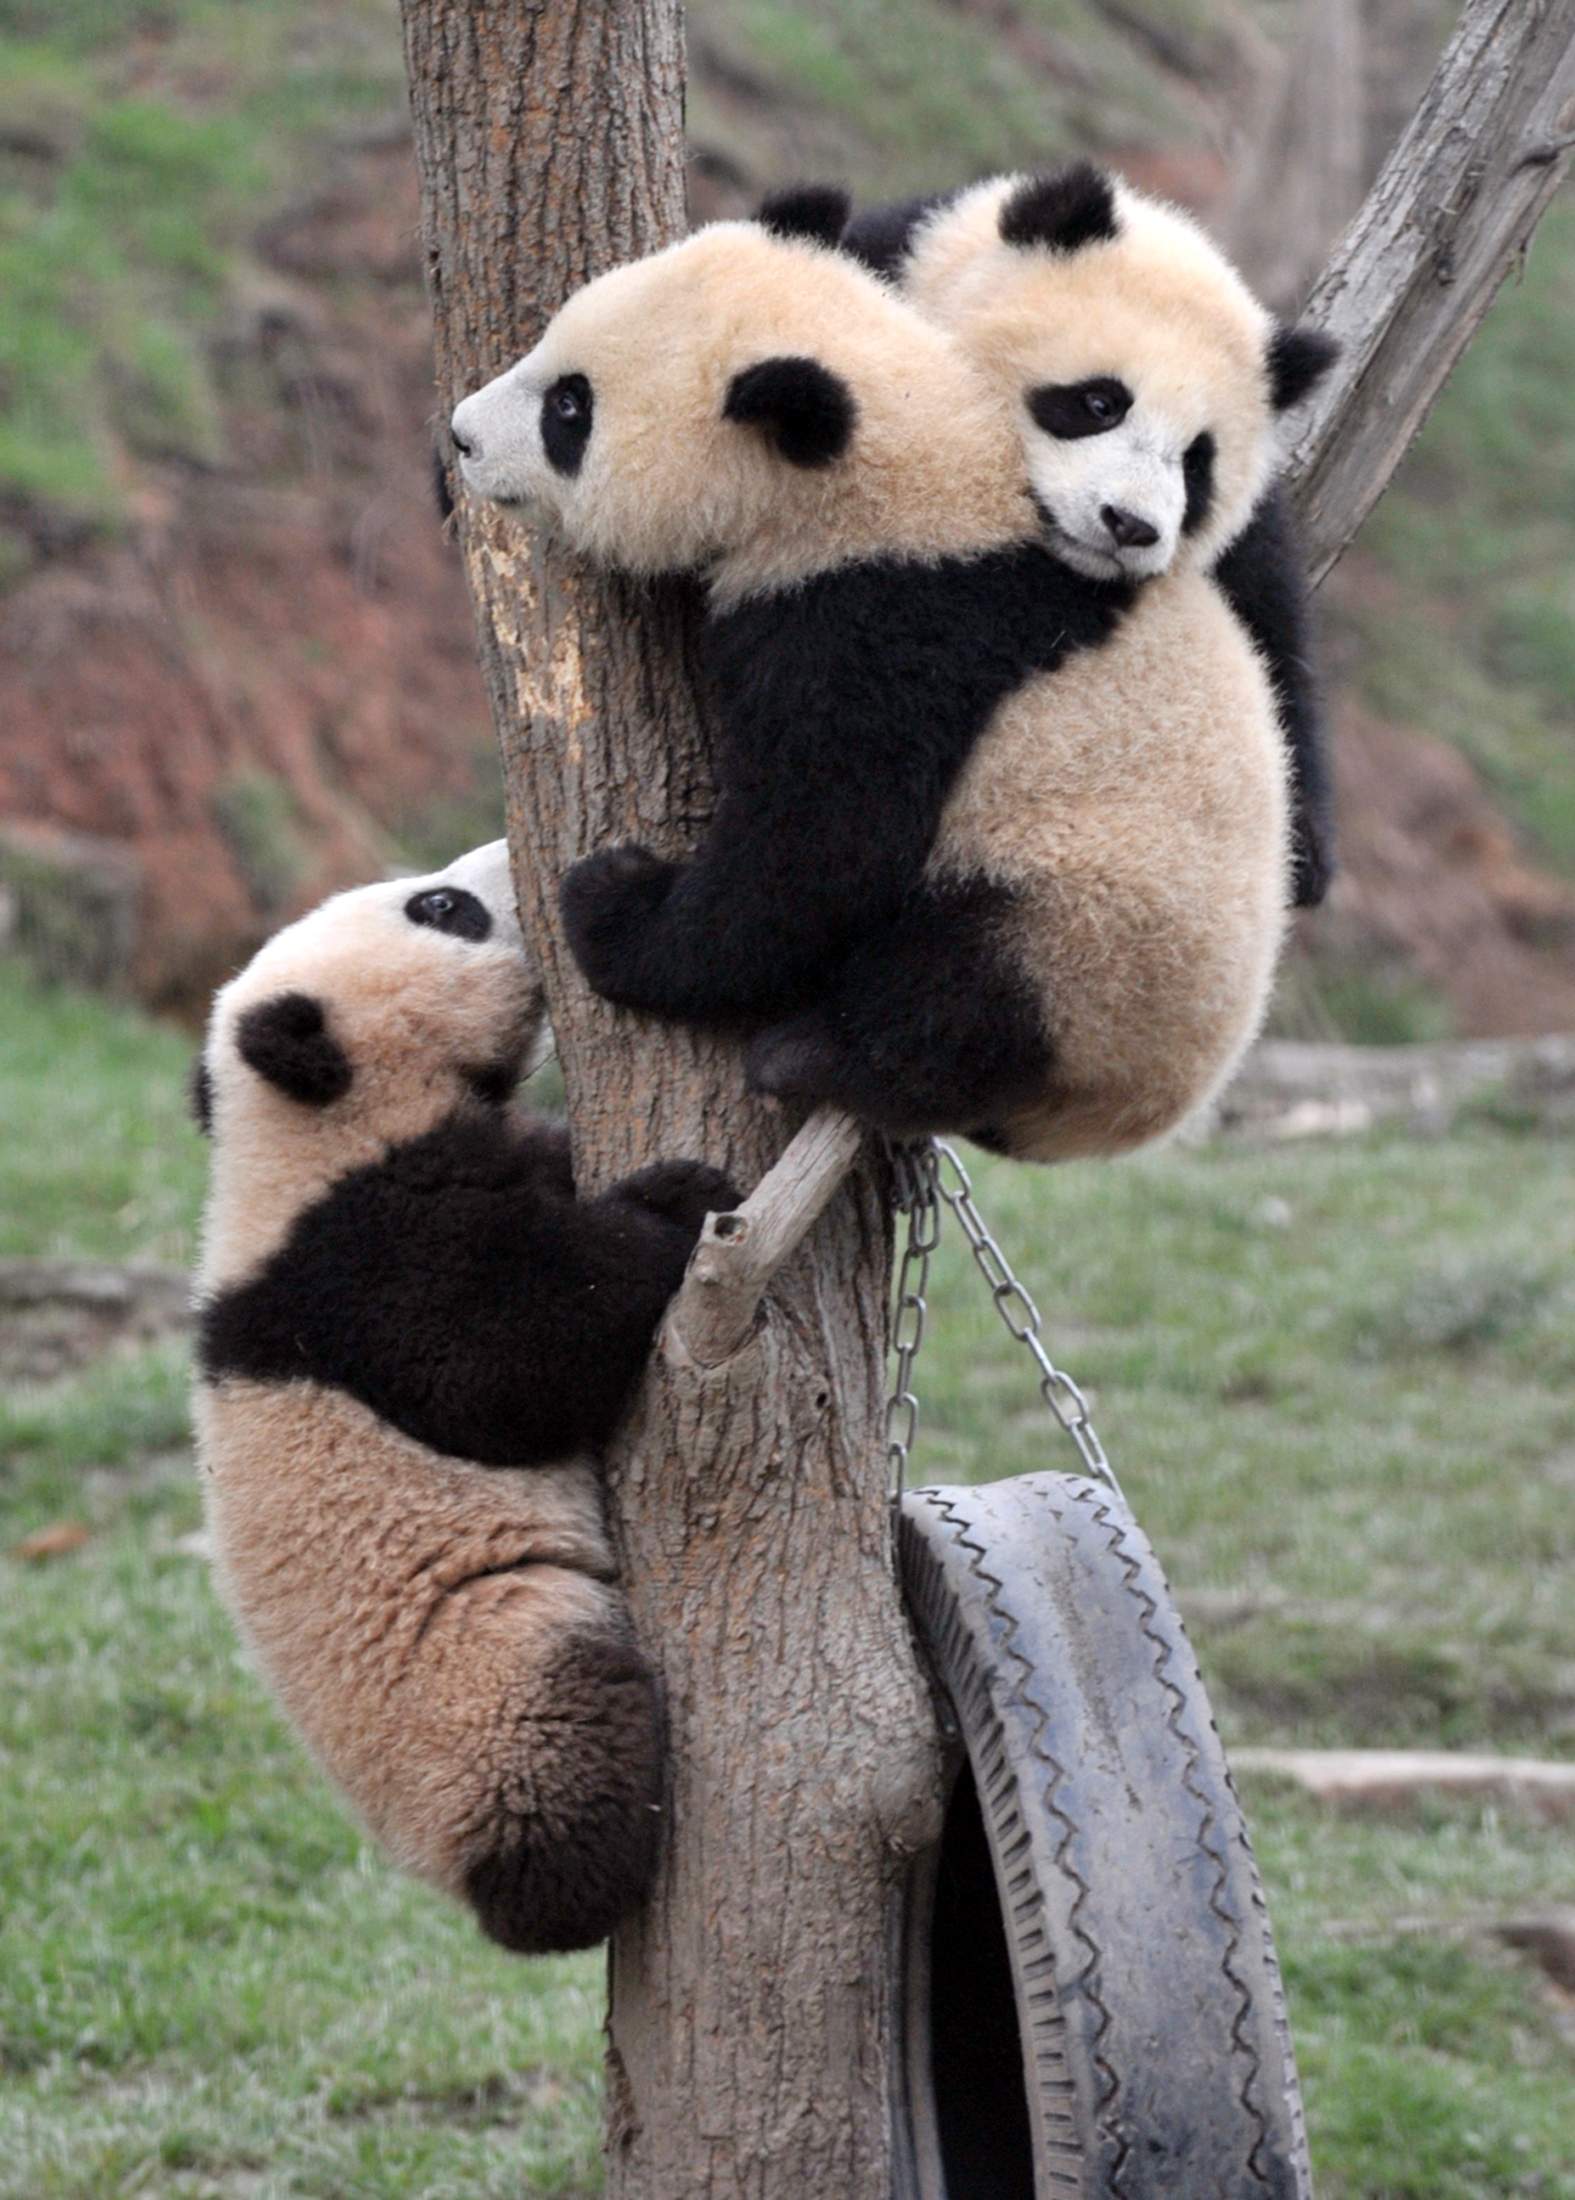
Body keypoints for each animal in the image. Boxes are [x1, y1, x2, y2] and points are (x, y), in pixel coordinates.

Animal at [191, 839, 738, 1954]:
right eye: (442, 909)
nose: (509, 858)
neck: (299, 1137)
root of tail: (425, 1860)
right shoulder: (356, 1263)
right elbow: (501, 1362)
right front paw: (677, 1202)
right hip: (483, 1675)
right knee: (564, 1757)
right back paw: (587, 1875)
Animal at [450, 208, 1288, 1162]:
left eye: (569, 407)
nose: (462, 435)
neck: (912, 440)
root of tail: (1127, 1115)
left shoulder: (885, 623)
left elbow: (819, 845)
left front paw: (616, 907)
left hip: (1096, 945)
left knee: (960, 994)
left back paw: (821, 1058)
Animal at [838, 162, 1338, 906]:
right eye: (1101, 402)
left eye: (1196, 462)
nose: (1129, 524)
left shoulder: (1248, 543)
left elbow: (1274, 629)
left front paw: (1305, 849)